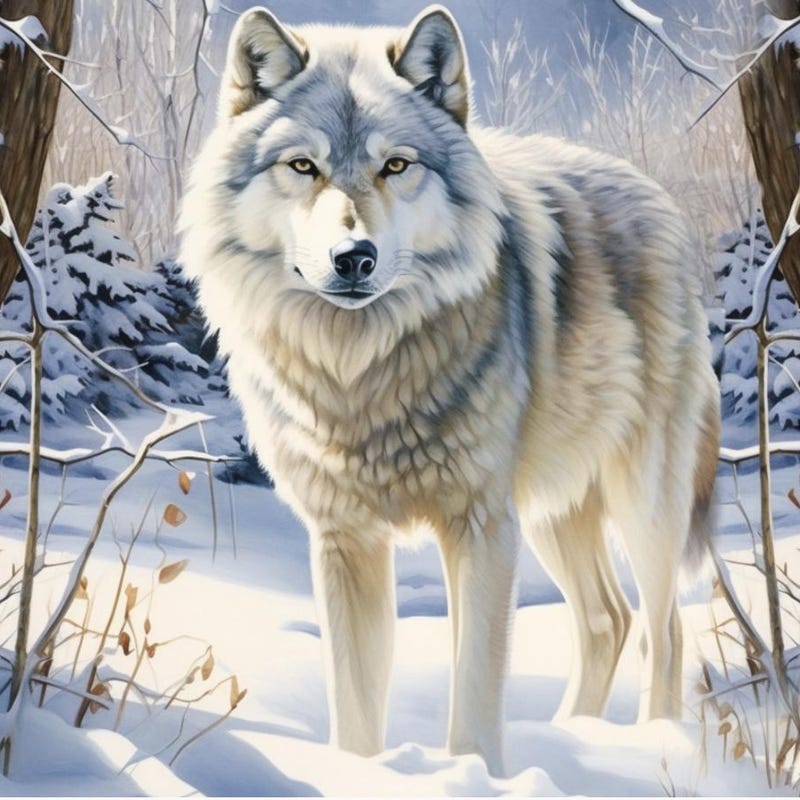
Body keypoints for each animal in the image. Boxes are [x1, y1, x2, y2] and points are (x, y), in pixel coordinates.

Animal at [180, 4, 720, 776]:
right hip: (554, 509)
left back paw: (650, 747)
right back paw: (574, 736)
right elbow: (355, 705)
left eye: (396, 165)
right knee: (606, 619)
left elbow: (475, 687)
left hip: (639, 503)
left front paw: (478, 773)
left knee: (663, 627)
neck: (359, 372)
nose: (354, 257)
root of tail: (655, 196)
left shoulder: (482, 525)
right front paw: (359, 775)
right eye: (304, 166)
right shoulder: (344, 539)